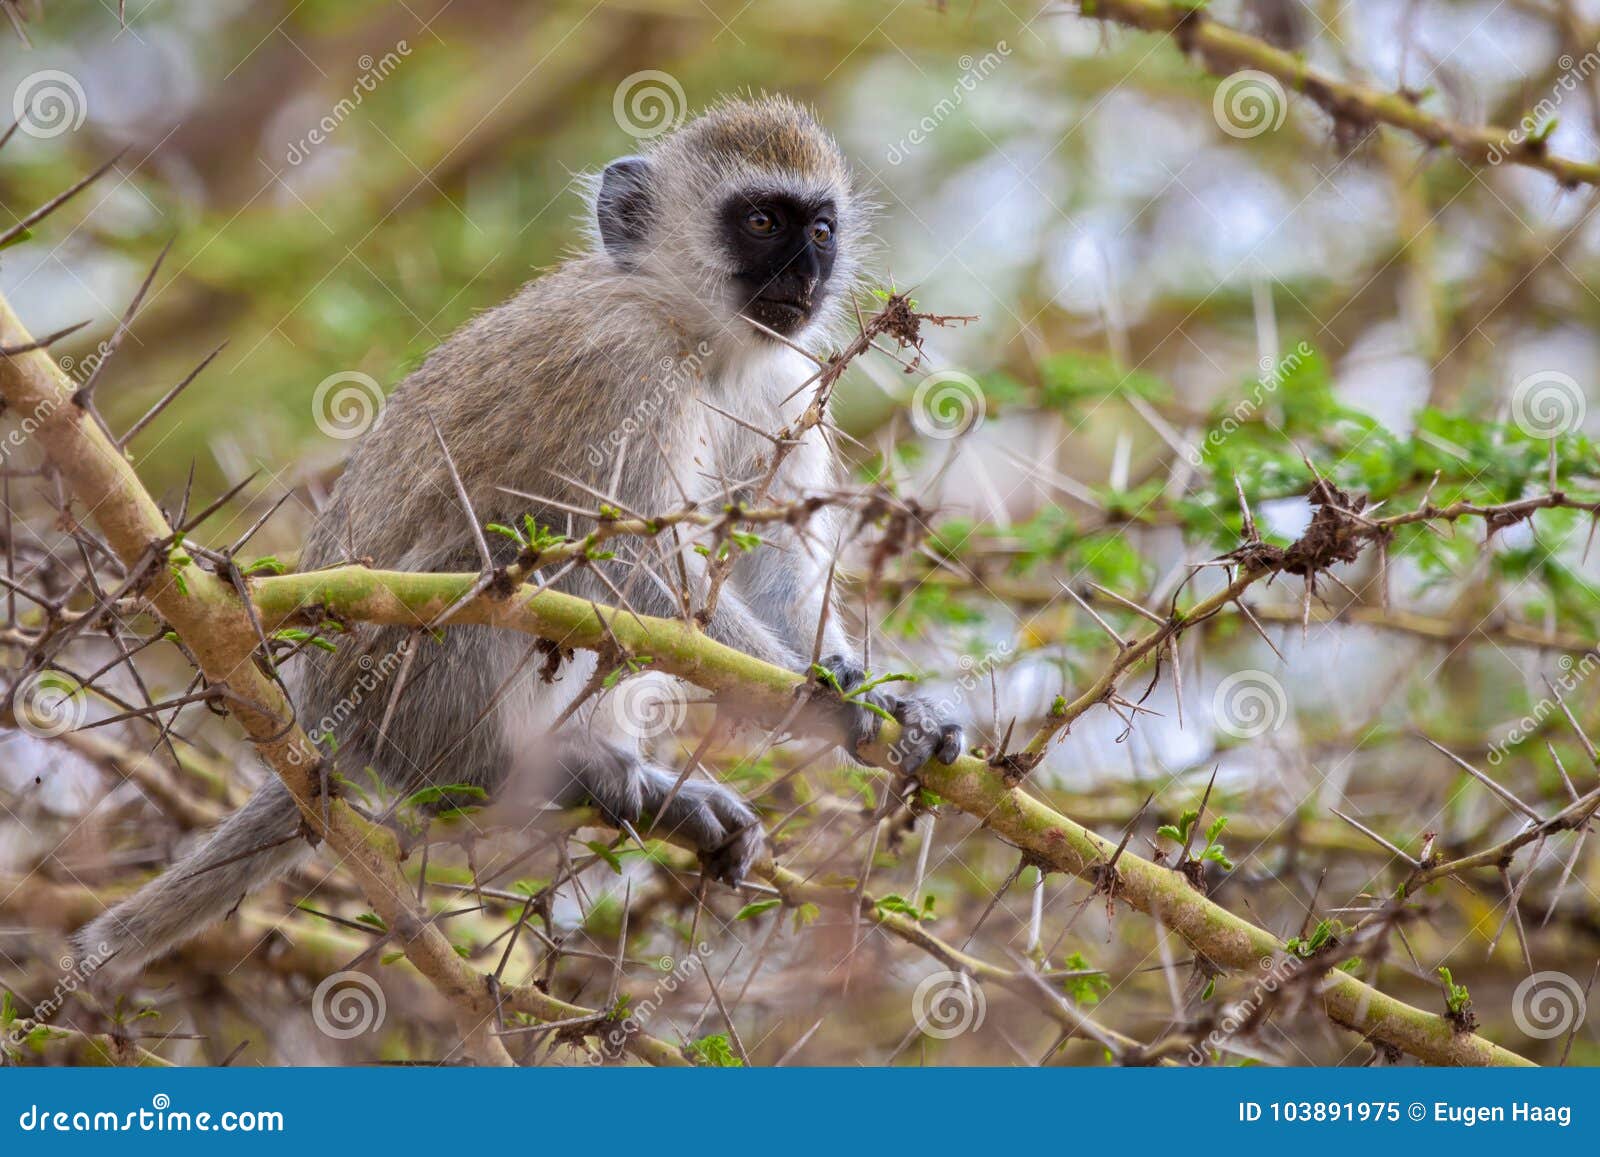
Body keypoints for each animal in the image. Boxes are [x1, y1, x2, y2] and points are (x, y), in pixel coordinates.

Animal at [76, 95, 966, 983]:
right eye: (758, 221)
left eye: (819, 229)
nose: (808, 277)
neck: (696, 333)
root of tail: (329, 724)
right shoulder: (625, 371)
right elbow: (631, 565)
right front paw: (816, 698)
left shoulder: (783, 378)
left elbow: (770, 558)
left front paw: (887, 697)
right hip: (400, 689)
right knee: (496, 578)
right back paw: (506, 774)